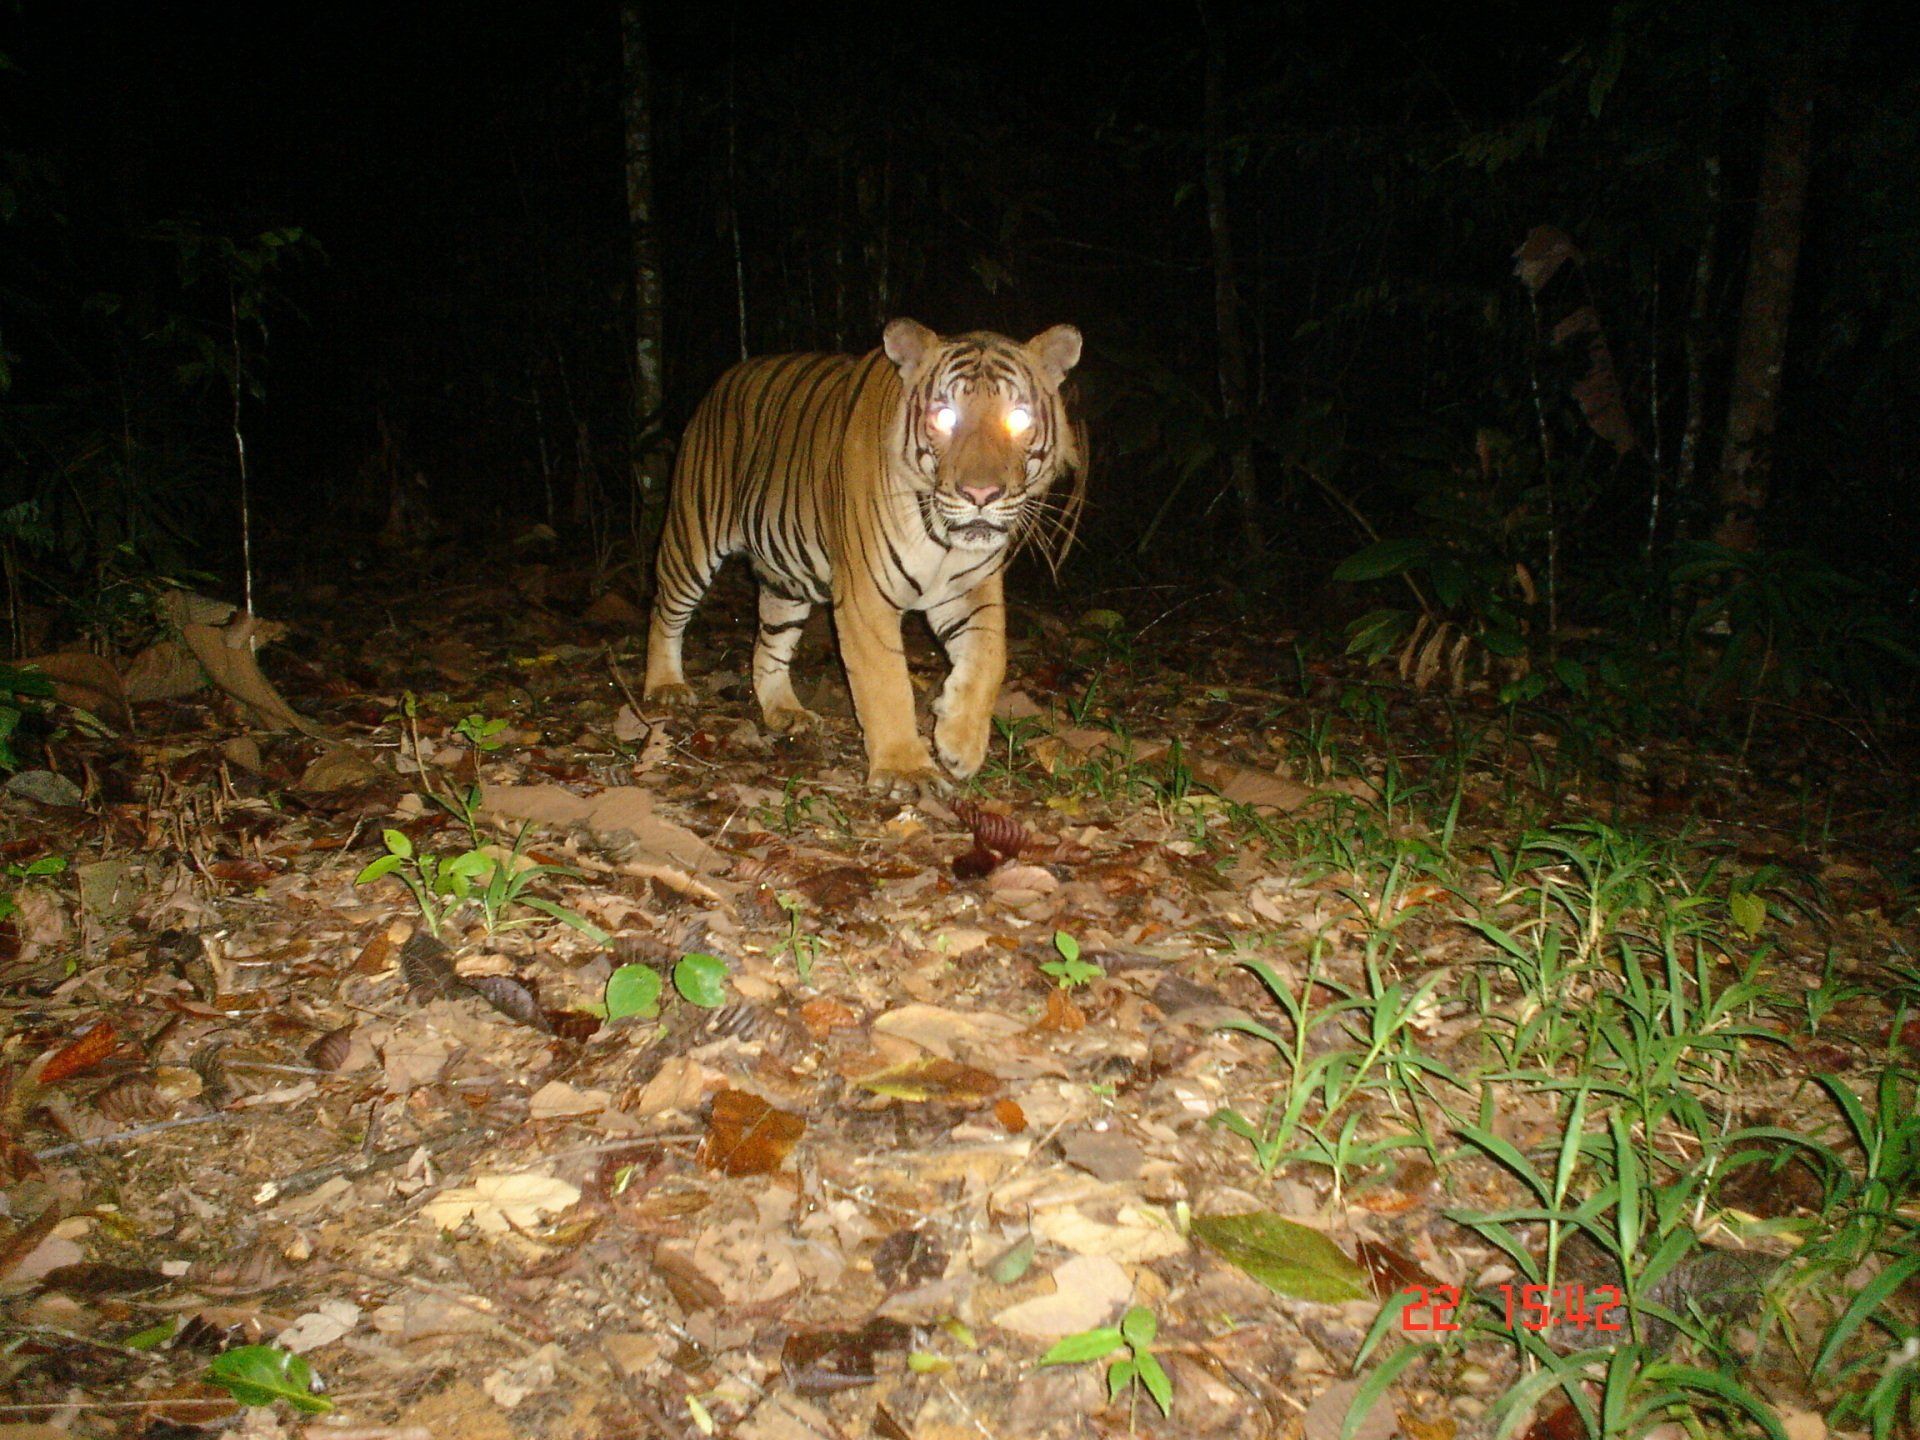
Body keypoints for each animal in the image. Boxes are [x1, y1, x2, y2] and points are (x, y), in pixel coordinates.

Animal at [642, 318, 1086, 797]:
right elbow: (886, 682)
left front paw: (959, 744)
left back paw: (786, 712)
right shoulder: (865, 597)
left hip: (786, 583)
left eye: (1018, 417)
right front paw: (907, 770)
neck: (943, 539)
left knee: (767, 647)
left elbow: (990, 658)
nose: (981, 494)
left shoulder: (972, 590)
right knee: (664, 612)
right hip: (693, 538)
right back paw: (665, 687)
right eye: (944, 415)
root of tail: (724, 380)